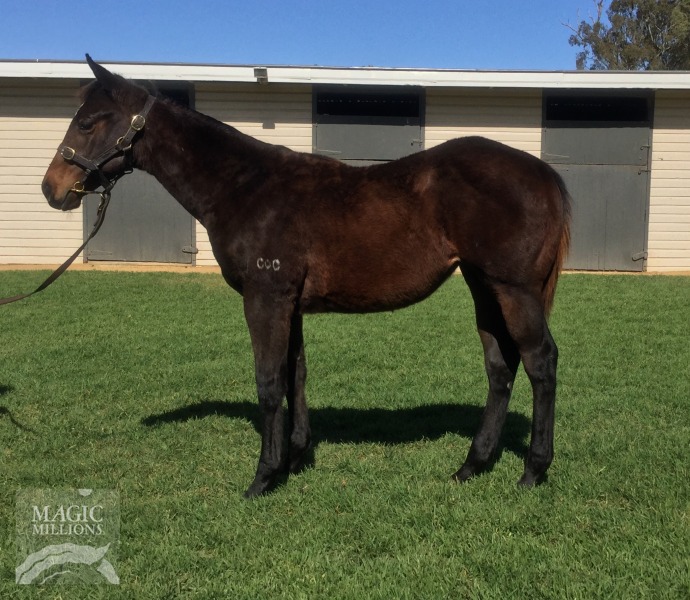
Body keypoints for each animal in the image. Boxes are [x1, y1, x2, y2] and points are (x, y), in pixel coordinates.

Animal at [42, 56, 571, 498]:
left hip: (514, 290)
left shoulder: (266, 299)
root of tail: (543, 173)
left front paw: (262, 478)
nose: (52, 189)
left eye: (87, 121)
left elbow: (269, 381)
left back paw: (532, 471)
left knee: (540, 362)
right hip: (484, 288)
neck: (244, 187)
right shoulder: (289, 304)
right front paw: (294, 460)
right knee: (500, 366)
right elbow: (295, 375)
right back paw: (471, 466)